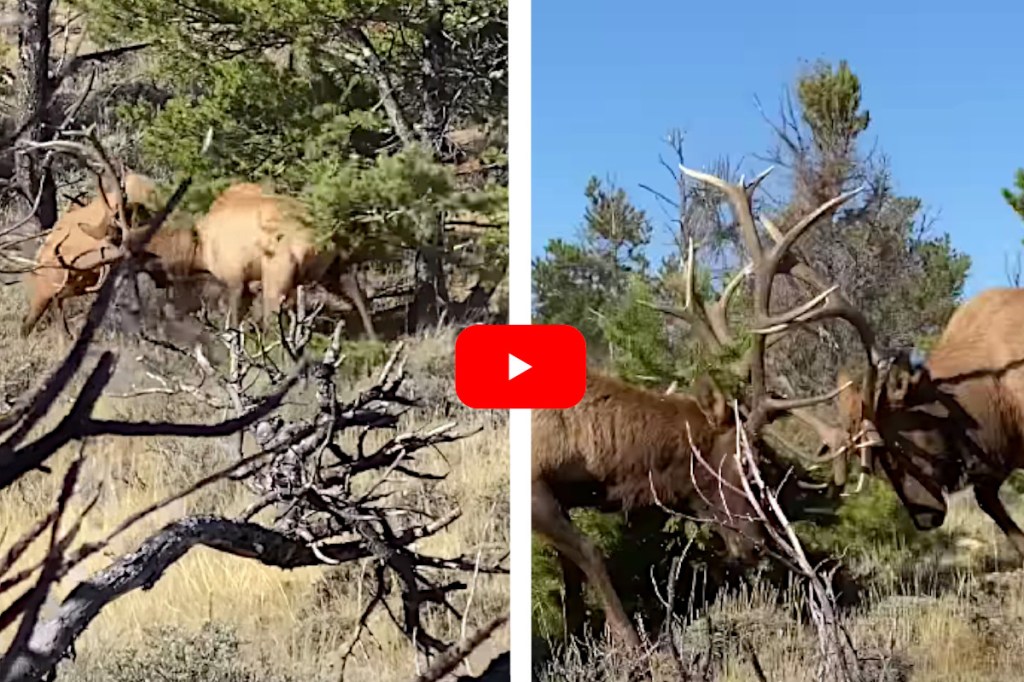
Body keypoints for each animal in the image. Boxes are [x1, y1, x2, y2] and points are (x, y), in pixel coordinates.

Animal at [532, 164, 885, 647]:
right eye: (746, 462)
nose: (755, 546)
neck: (587, 460)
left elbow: (570, 579)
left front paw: (578, 639)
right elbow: (590, 553)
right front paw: (630, 642)